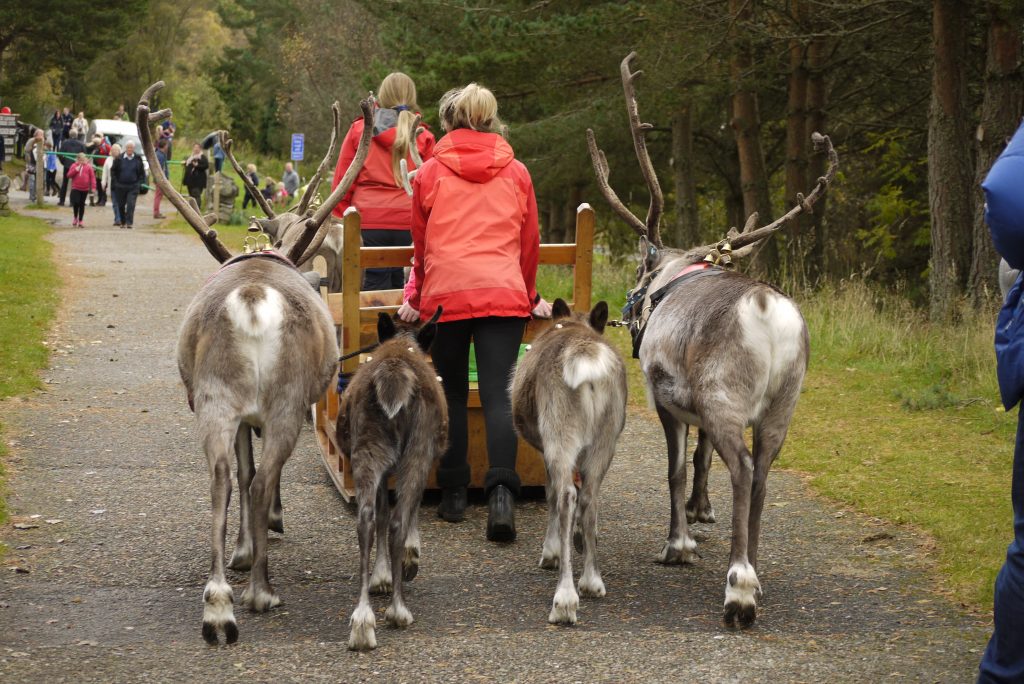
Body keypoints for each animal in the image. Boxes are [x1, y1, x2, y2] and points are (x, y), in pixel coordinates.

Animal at [135, 81, 374, 645]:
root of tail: (253, 294)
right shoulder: (275, 411)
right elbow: (259, 478)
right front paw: (263, 541)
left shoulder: (242, 415)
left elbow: (241, 472)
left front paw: (242, 551)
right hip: (284, 402)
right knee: (262, 481)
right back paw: (261, 593)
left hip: (214, 398)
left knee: (221, 479)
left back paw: (219, 606)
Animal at [337, 309, 447, 650]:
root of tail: (395, 377)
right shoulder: (425, 459)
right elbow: (408, 513)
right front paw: (409, 561)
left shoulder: (385, 469)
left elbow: (382, 514)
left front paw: (381, 576)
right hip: (417, 451)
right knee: (399, 520)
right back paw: (398, 611)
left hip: (367, 452)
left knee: (366, 520)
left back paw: (362, 621)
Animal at [510, 299, 627, 625]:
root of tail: (585, 353)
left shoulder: (545, 449)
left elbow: (550, 495)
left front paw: (550, 553)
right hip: (605, 440)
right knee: (589, 498)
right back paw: (591, 581)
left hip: (559, 435)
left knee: (565, 497)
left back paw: (564, 599)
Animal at [586, 52, 838, 628]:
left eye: (638, 273)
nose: (630, 306)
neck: (674, 275)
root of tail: (767, 311)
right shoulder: (697, 407)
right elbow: (699, 462)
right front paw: (698, 520)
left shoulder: (665, 397)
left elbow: (676, 470)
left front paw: (678, 544)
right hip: (782, 405)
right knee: (762, 472)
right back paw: (752, 573)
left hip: (725, 397)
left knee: (742, 469)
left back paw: (739, 588)